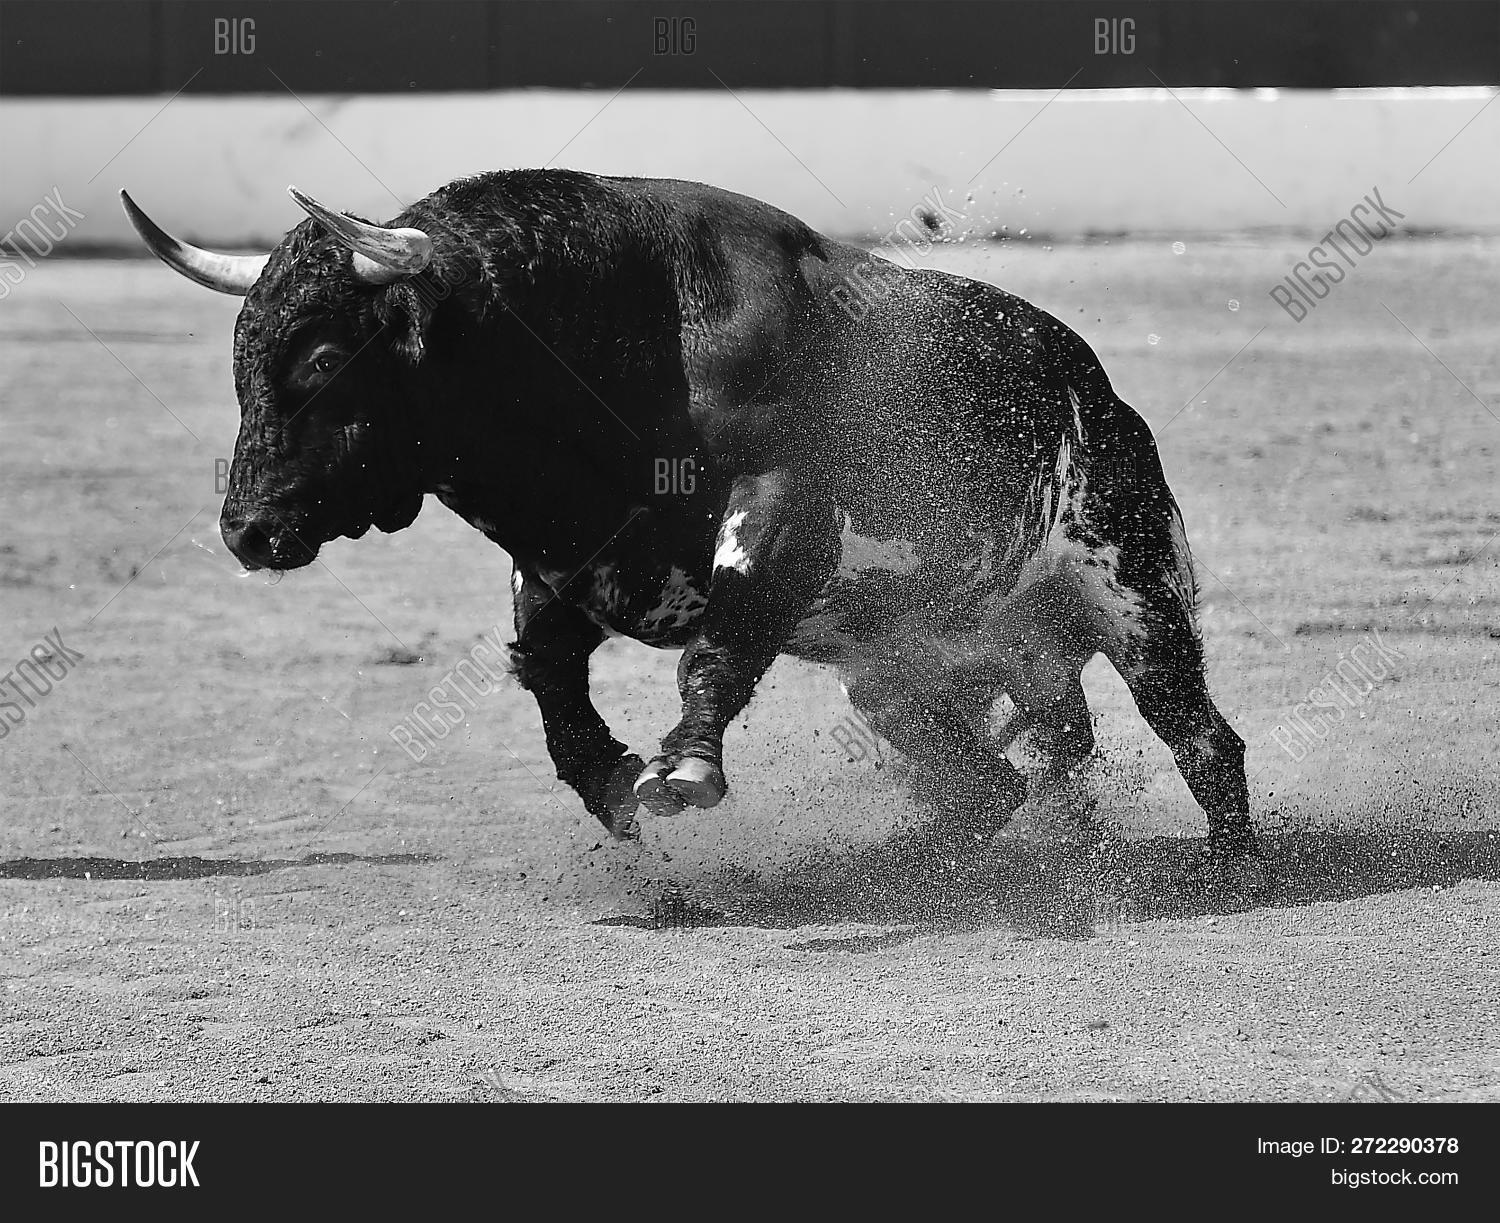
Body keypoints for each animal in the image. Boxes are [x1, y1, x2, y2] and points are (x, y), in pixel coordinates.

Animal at [120, 170, 1260, 885]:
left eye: (319, 355)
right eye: (243, 346)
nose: (247, 528)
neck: (621, 339)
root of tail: (1095, 386)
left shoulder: (781, 513)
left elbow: (722, 640)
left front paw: (683, 768)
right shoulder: (571, 562)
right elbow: (548, 676)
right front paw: (613, 782)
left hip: (1136, 595)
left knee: (1201, 736)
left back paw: (1233, 868)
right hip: (909, 673)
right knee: (1001, 780)